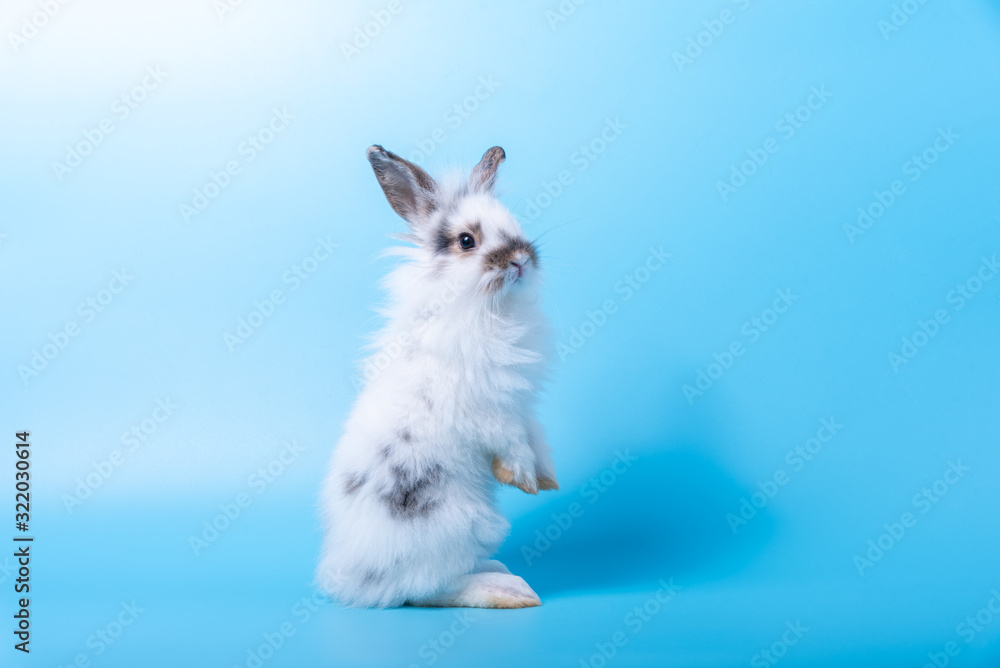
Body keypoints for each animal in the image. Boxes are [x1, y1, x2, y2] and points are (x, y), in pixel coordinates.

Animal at [316, 145, 558, 609]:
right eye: (467, 241)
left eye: (514, 223)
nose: (521, 260)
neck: (484, 308)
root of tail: (353, 580)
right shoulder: (486, 408)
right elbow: (510, 439)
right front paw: (520, 477)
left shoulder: (522, 402)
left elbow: (535, 435)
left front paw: (546, 477)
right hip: (458, 521)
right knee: (424, 588)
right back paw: (505, 589)